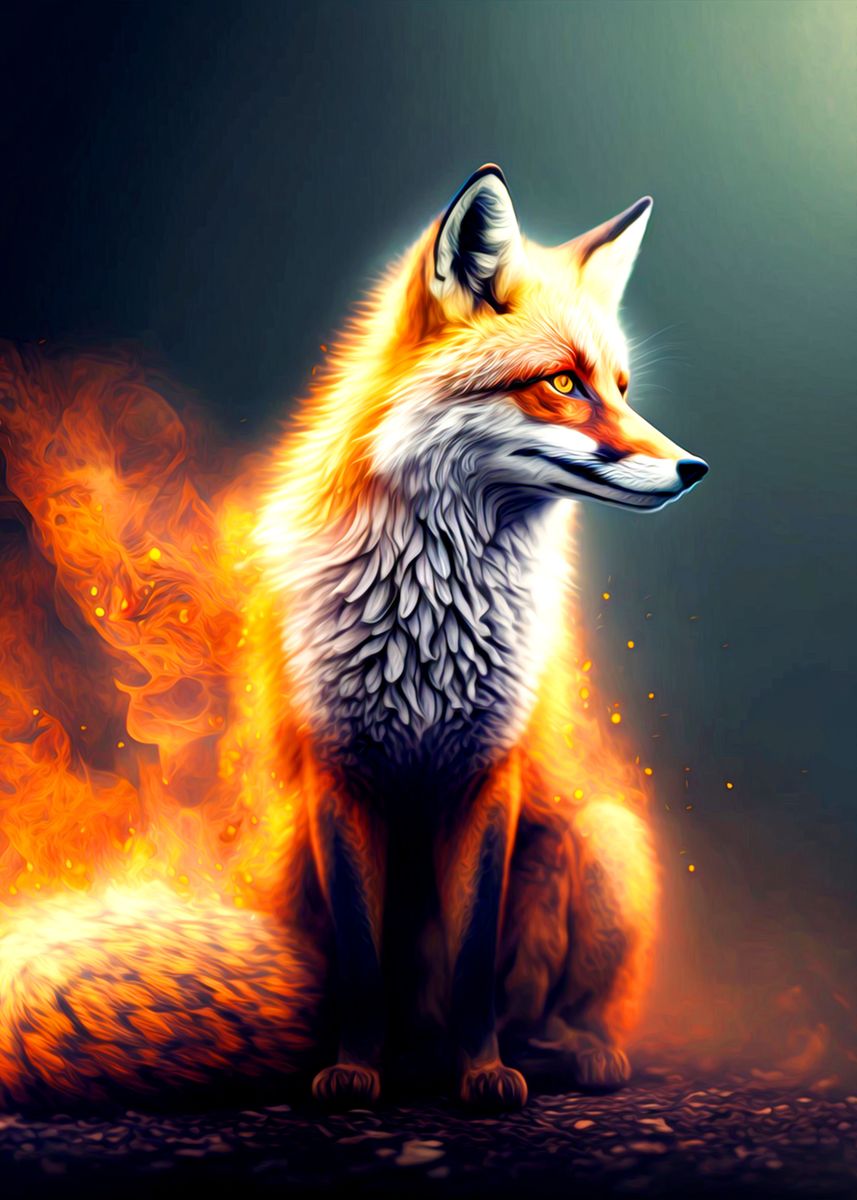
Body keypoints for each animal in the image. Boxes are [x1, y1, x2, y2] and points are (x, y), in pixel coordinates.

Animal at [0, 165, 706, 1112]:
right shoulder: (337, 775)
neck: (430, 620)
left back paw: (567, 1049)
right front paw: (355, 1073)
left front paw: (482, 1074)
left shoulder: (485, 775)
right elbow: (364, 965)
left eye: (622, 388)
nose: (692, 469)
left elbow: (474, 961)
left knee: (562, 1004)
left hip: (605, 839)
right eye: (562, 384)